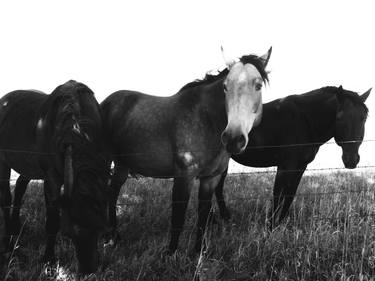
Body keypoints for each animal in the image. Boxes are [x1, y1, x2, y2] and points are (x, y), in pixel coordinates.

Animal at [0, 80, 111, 274]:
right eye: (68, 233)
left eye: (99, 228)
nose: (88, 269)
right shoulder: (51, 178)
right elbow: (52, 221)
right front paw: (49, 260)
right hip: (3, 161)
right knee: (6, 196)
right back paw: (8, 241)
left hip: (28, 167)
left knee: (19, 188)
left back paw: (16, 225)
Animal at [101, 47, 274, 252]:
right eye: (225, 86)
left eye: (258, 86)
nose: (233, 138)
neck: (206, 120)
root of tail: (105, 102)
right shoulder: (184, 176)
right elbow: (178, 217)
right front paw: (170, 253)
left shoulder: (211, 178)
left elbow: (203, 216)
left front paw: (198, 250)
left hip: (122, 165)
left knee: (112, 193)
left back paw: (114, 235)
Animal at [214, 85, 370, 228]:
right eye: (339, 117)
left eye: (364, 118)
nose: (351, 160)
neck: (304, 120)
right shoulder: (286, 166)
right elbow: (278, 194)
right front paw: (270, 226)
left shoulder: (300, 166)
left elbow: (290, 194)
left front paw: (279, 223)